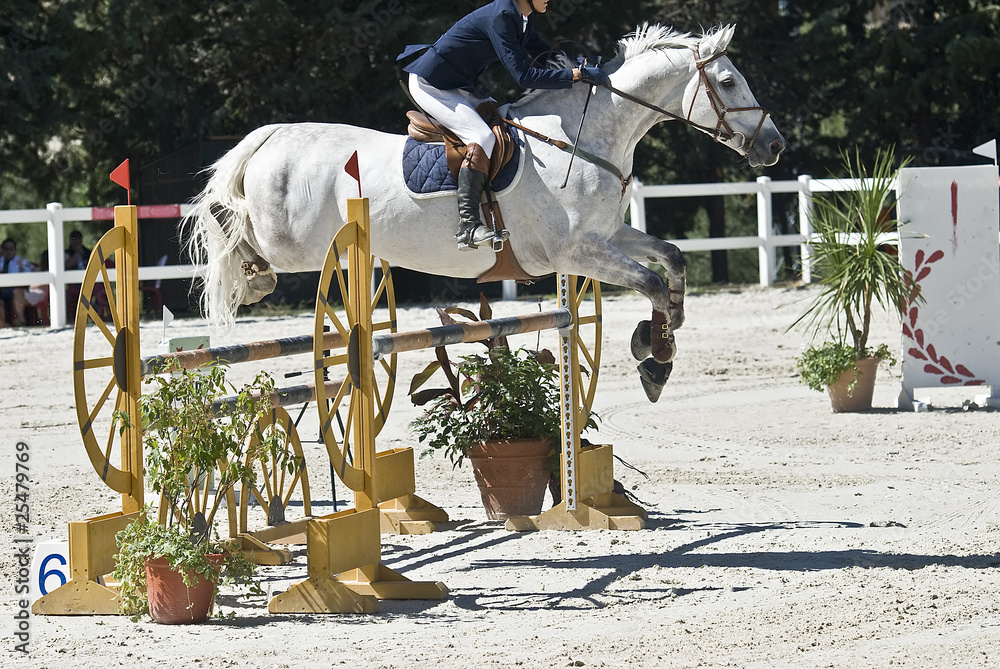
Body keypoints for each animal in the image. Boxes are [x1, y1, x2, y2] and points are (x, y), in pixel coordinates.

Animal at [184, 24, 785, 402]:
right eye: (728, 82)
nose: (774, 146)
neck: (581, 137)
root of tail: (271, 135)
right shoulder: (574, 251)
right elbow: (651, 281)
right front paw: (655, 360)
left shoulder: (607, 233)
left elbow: (672, 261)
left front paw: (658, 339)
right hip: (293, 243)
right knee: (232, 231)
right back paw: (247, 279)